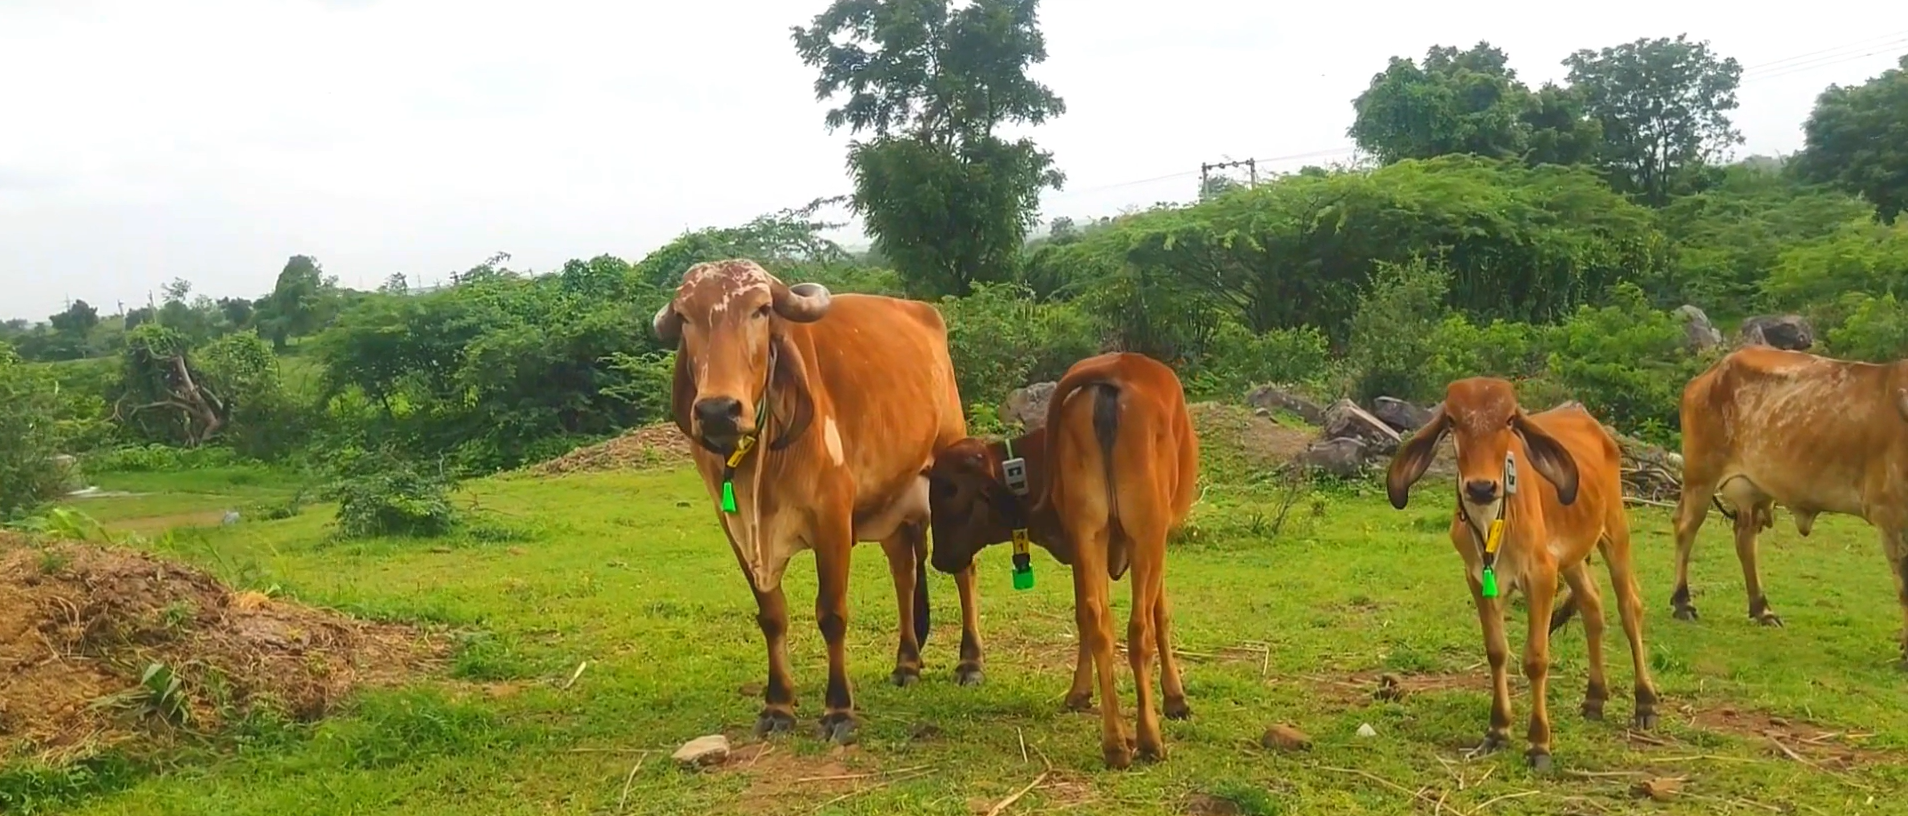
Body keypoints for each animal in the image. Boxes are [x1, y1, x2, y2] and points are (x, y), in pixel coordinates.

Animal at [651, 259, 985, 744]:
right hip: (891, 507)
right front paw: (778, 706)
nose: (716, 411)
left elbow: (831, 614)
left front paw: (838, 711)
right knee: (903, 573)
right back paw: (906, 663)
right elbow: (772, 615)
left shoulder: (832, 520)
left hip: (949, 474)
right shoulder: (737, 529)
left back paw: (971, 662)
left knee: (965, 569)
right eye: (684, 317)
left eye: (761, 310)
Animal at [926, 352, 1198, 770]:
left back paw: (1115, 744)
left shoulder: (1077, 544)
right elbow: (1160, 616)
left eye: (949, 491)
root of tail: (1113, 372)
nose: (938, 558)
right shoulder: (1157, 540)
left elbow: (1085, 618)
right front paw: (1176, 699)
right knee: (1139, 630)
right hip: (1145, 532)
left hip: (1094, 531)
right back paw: (1148, 740)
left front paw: (1079, 693)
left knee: (1097, 621)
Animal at [1386, 378, 1659, 771]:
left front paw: (1539, 744)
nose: (1481, 487)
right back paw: (1594, 698)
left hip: (1614, 531)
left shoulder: (1541, 576)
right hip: (1572, 557)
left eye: (1510, 420)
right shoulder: (1479, 579)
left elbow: (1535, 658)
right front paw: (1497, 730)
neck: (1491, 522)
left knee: (1629, 607)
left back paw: (1645, 701)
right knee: (1592, 605)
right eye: (1451, 420)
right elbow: (1496, 651)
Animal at [1668, 346, 1908, 666]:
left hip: (1755, 487)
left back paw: (1762, 610)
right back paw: (1683, 603)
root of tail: (1711, 372)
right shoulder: (1891, 516)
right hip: (1700, 474)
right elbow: (1905, 584)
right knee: (1686, 526)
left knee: (1745, 538)